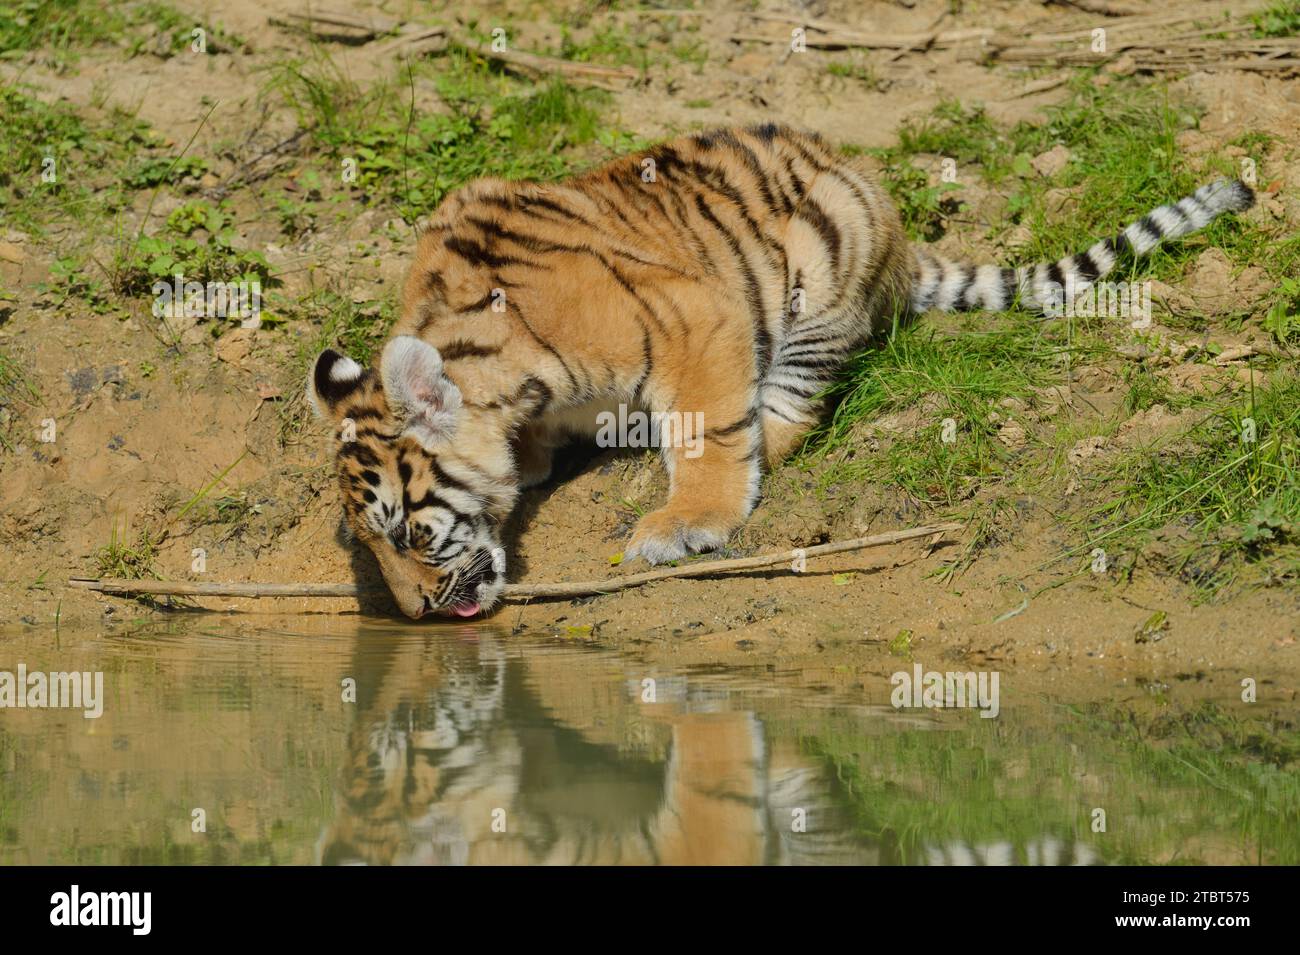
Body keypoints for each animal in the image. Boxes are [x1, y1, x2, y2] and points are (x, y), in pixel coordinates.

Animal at [307, 122, 1255, 619]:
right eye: (369, 546)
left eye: (409, 534)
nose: (414, 613)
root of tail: (899, 231)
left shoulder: (695, 318)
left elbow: (709, 433)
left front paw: (685, 522)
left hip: (819, 266)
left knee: (788, 411)